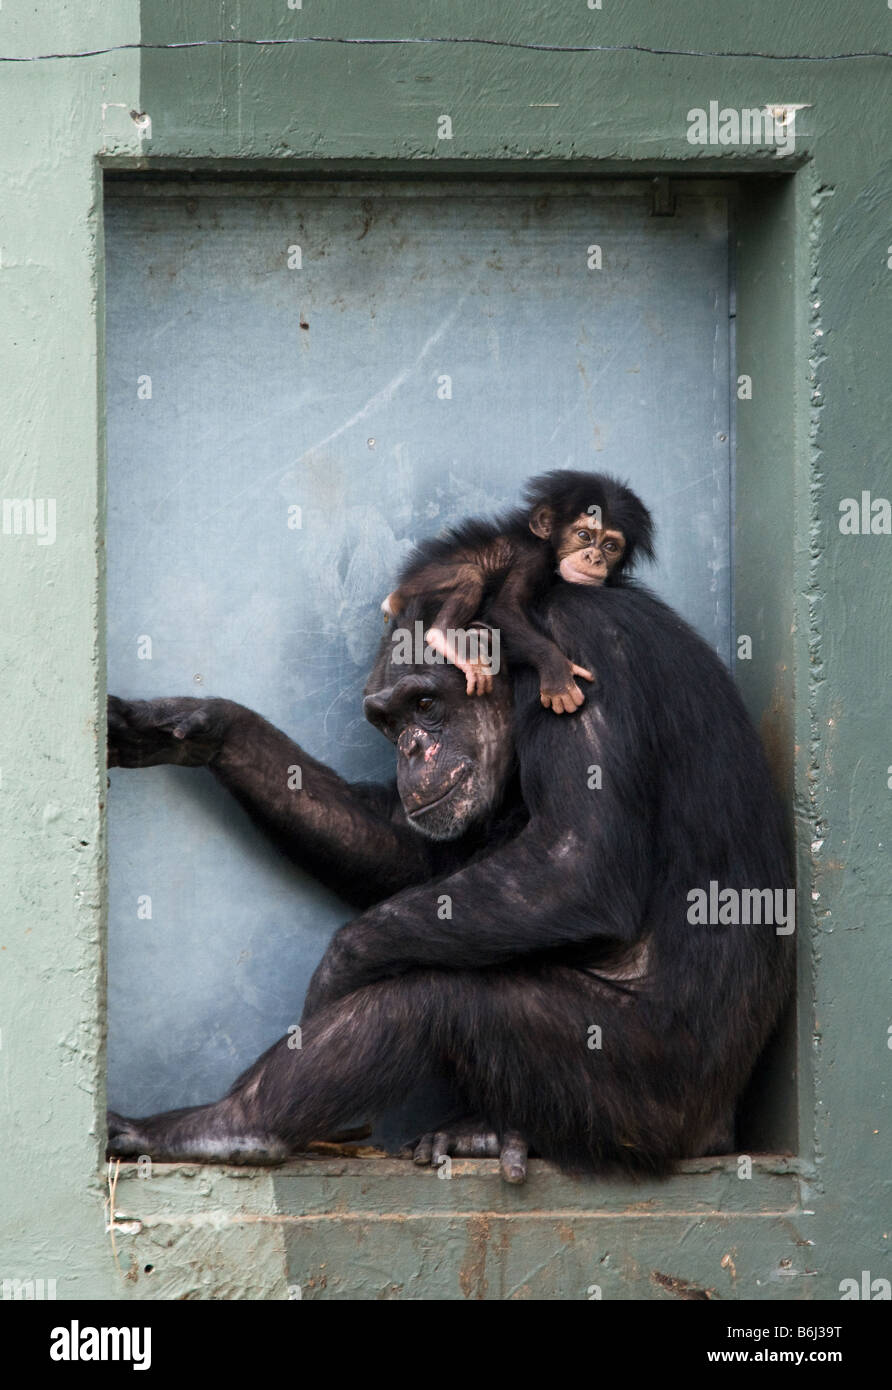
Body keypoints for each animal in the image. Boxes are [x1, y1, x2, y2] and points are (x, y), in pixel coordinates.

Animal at [382, 470, 655, 714]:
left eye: (610, 547)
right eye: (583, 535)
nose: (594, 557)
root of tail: (393, 599)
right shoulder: (535, 558)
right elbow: (506, 608)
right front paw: (557, 675)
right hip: (420, 586)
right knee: (471, 575)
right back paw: (443, 636)